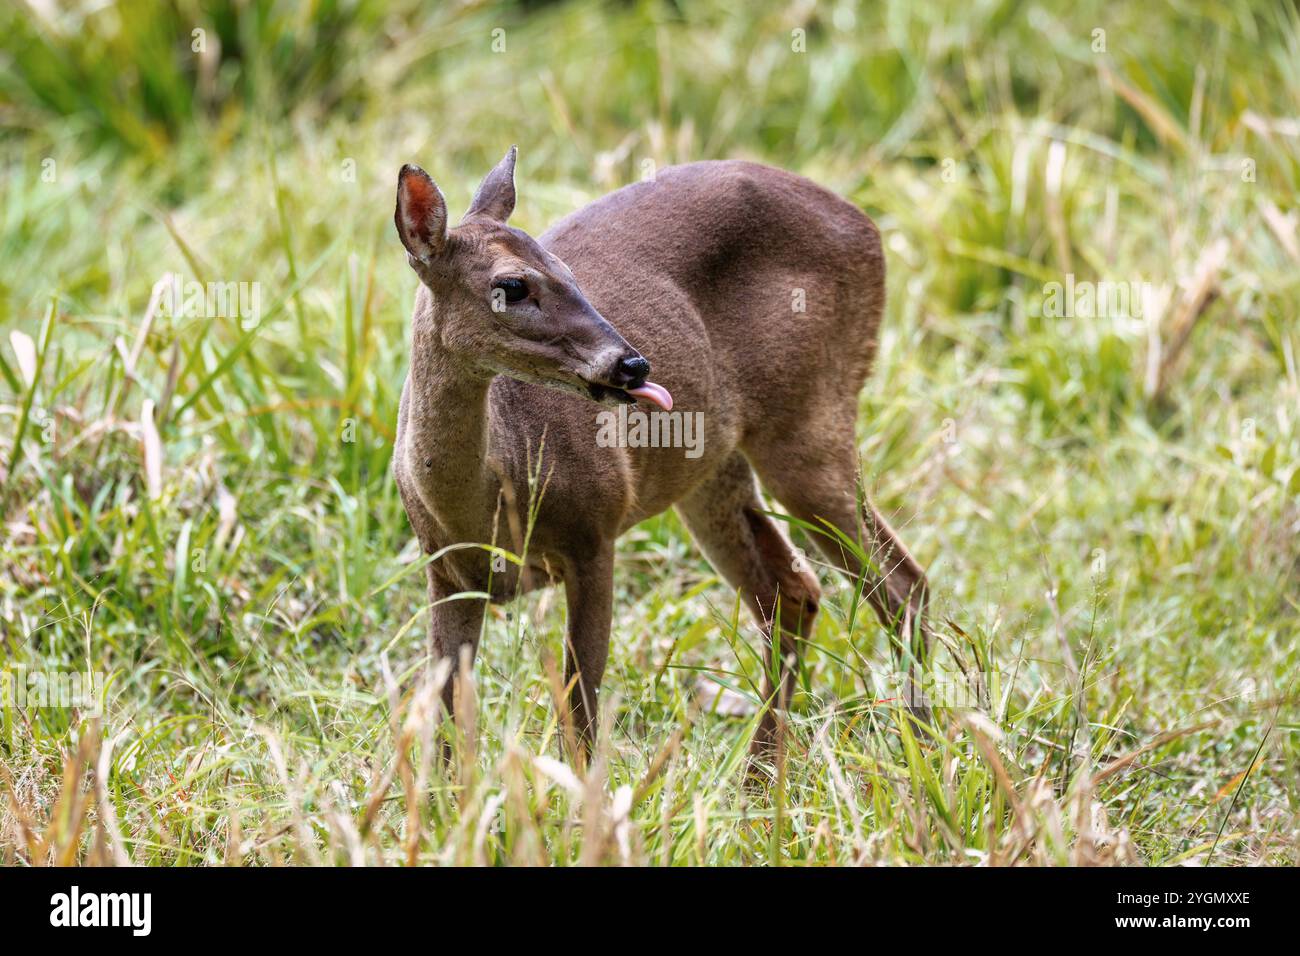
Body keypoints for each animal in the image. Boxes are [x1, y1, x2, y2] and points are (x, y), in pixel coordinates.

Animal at [392, 146, 933, 764]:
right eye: (511, 284)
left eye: (569, 271)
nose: (632, 364)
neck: (488, 500)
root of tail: (867, 225)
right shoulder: (445, 568)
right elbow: (445, 715)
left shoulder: (594, 530)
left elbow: (580, 702)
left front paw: (586, 789)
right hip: (710, 471)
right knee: (793, 592)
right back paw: (760, 773)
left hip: (810, 416)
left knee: (901, 584)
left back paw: (923, 749)